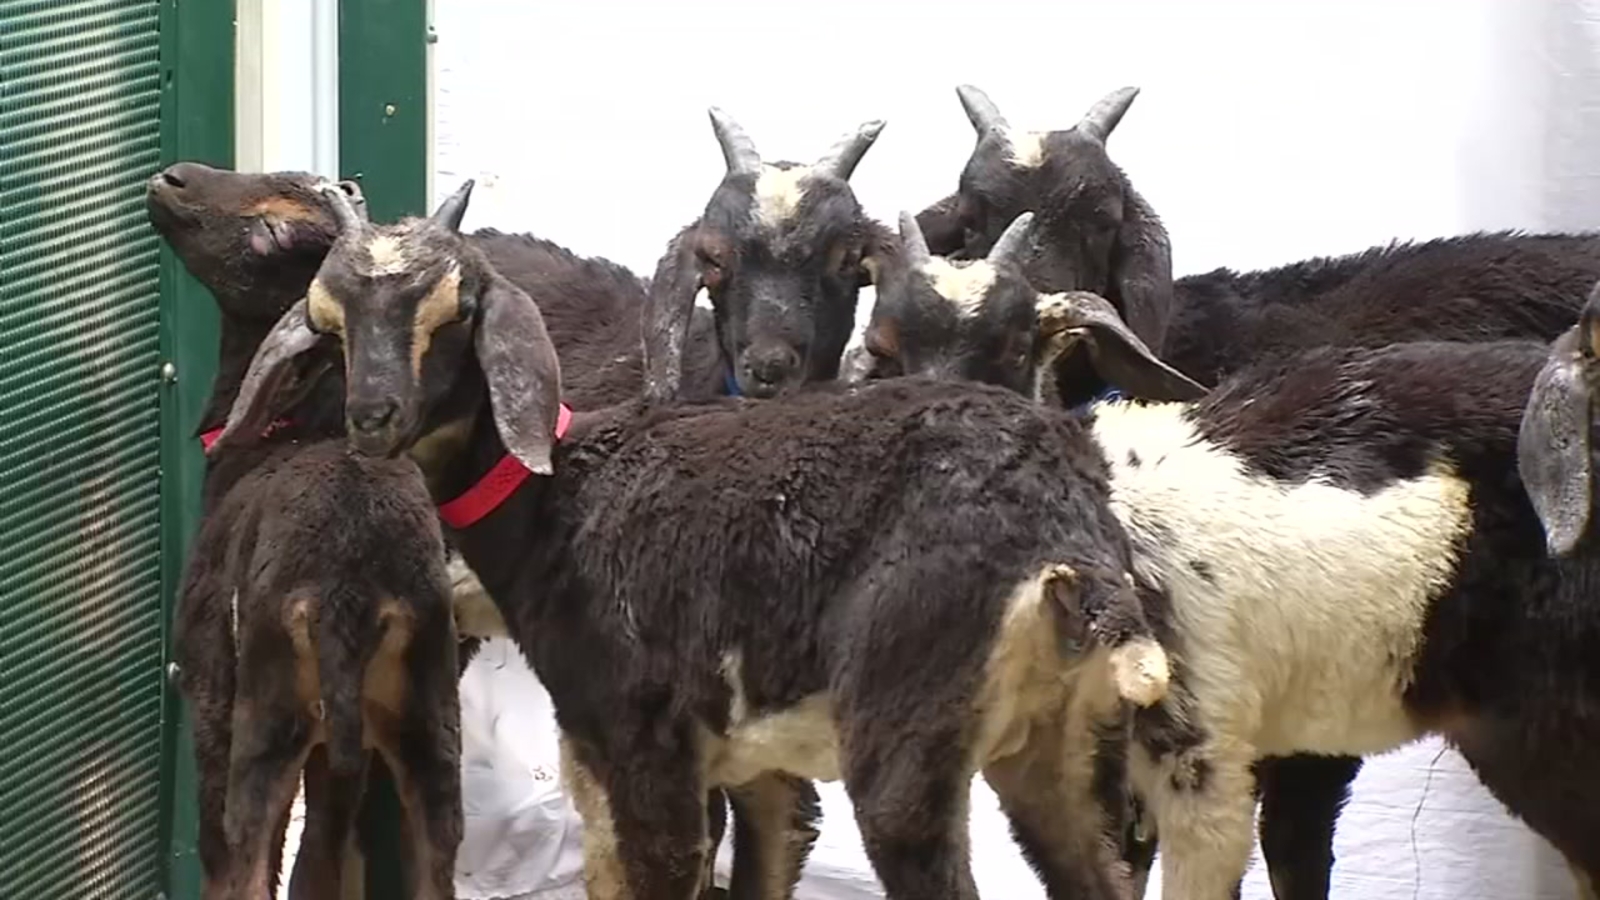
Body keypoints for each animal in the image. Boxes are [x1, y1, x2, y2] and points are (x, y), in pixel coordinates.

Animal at [148, 163, 463, 899]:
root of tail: (349, 593)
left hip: (265, 722)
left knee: (237, 855)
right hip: (425, 728)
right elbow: (321, 859)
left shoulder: (210, 688)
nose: (172, 179)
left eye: (271, 230)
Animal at [216, 181, 1177, 900]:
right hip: (1063, 753)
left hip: (910, 738)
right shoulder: (707, 757)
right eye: (329, 319)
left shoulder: (646, 743)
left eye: (456, 312)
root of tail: (1068, 537)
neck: (565, 495)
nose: (372, 418)